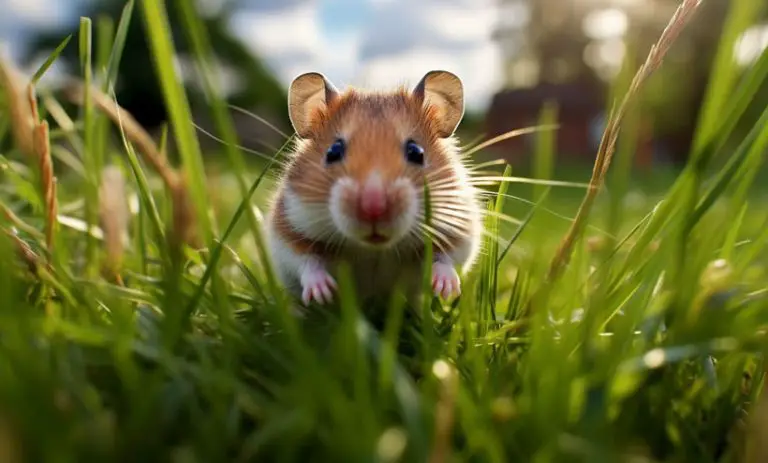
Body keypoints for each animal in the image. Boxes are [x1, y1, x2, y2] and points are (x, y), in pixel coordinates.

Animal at [264, 70, 484, 306]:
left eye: (416, 152)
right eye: (333, 151)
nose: (373, 208)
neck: (374, 248)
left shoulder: (460, 229)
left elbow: (446, 258)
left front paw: (447, 290)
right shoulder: (287, 230)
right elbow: (306, 261)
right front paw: (322, 294)